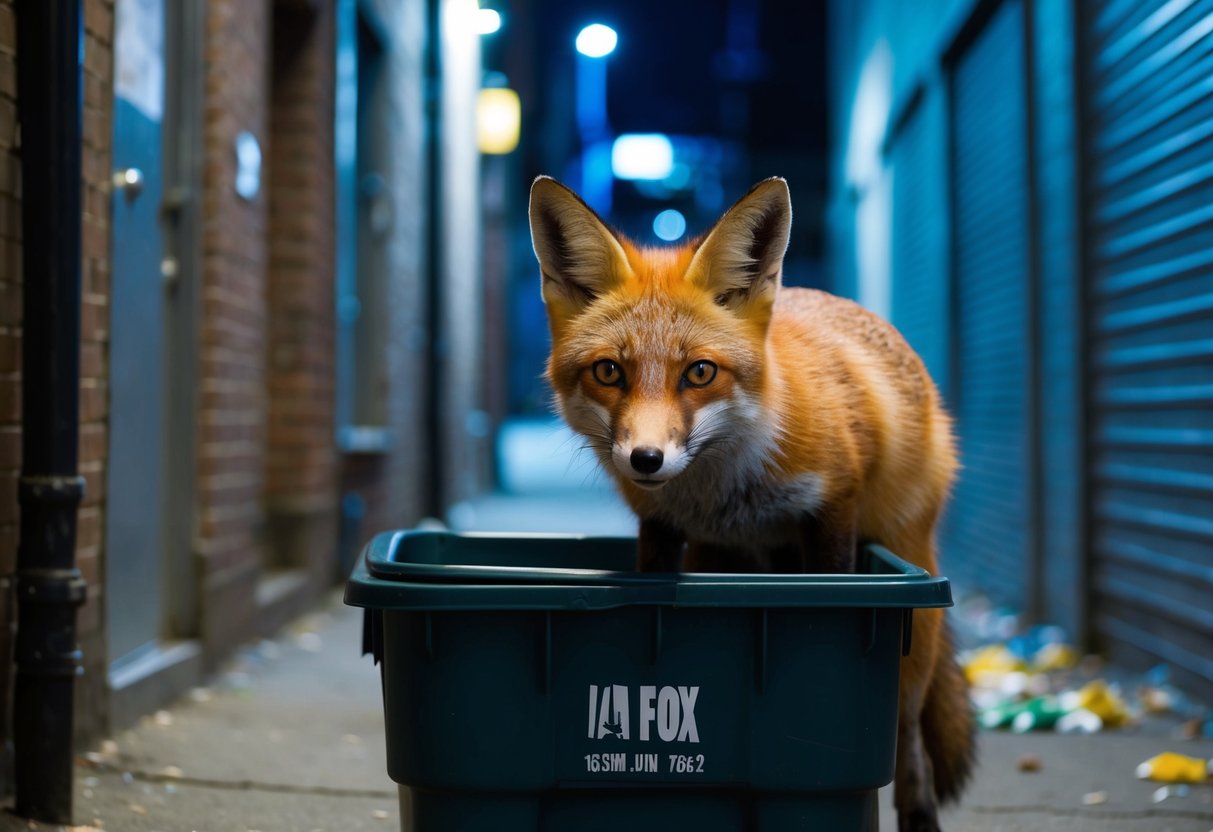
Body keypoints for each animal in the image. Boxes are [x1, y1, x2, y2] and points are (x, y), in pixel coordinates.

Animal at [529, 175, 974, 831]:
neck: (722, 493)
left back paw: (919, 814)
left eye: (699, 373)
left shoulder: (833, 508)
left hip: (914, 634)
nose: (645, 459)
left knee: (910, 739)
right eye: (609, 372)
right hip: (718, 560)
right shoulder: (661, 529)